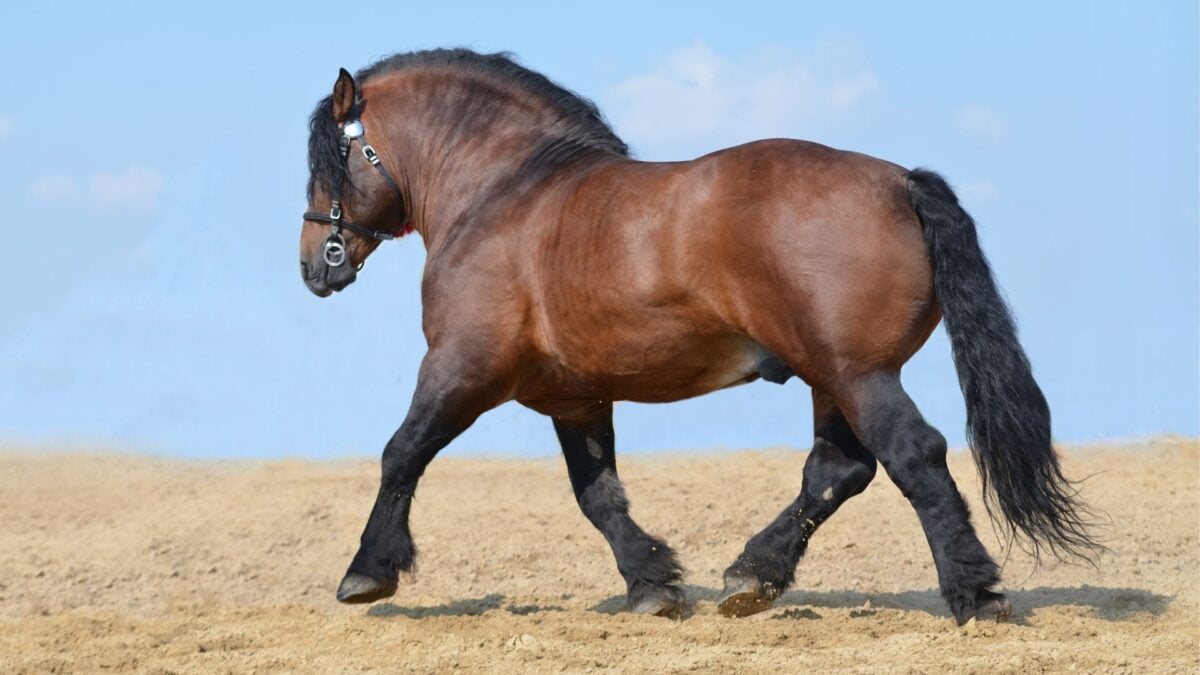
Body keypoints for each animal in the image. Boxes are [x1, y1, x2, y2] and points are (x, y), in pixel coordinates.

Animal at [298, 49, 1099, 623]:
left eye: (325, 160)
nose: (314, 265)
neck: (507, 194)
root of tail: (901, 181)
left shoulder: (464, 366)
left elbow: (402, 452)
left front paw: (367, 572)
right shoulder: (574, 398)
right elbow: (599, 496)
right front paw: (653, 584)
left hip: (858, 373)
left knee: (914, 457)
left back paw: (975, 593)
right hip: (833, 378)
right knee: (837, 470)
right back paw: (752, 575)